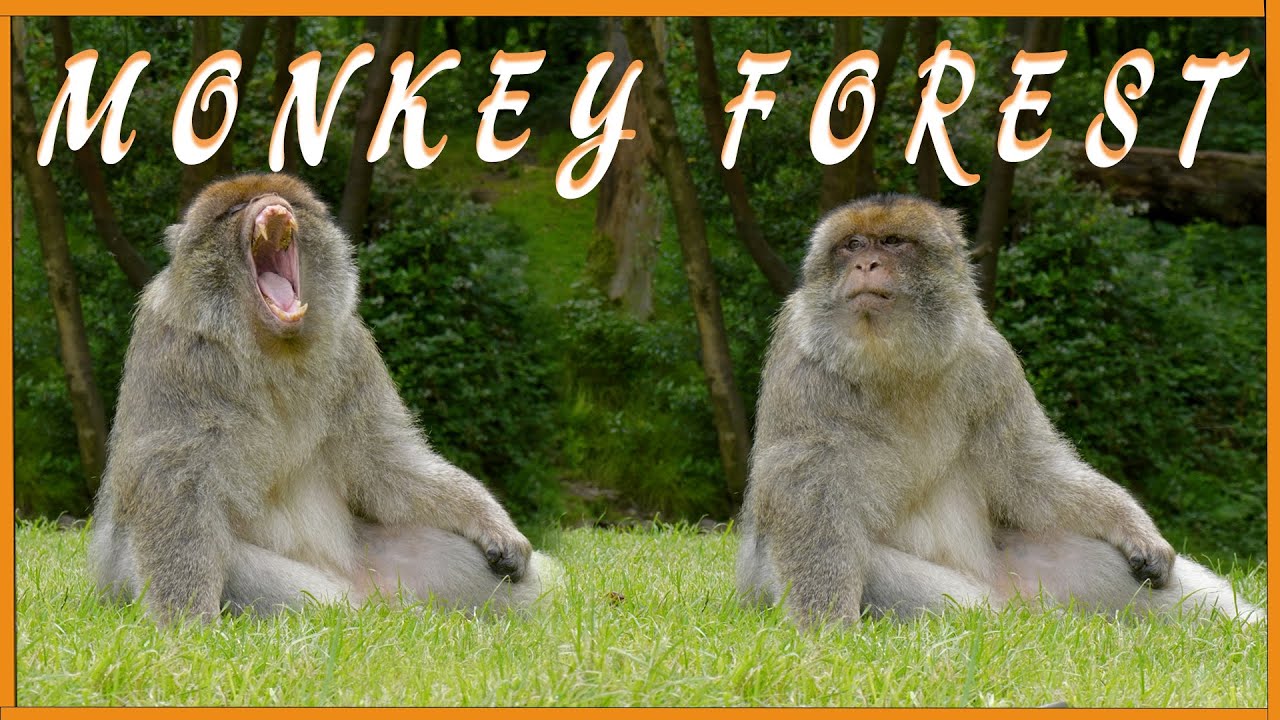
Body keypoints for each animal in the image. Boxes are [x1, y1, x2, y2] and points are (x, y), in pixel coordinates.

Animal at [89, 173, 559, 623]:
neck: (274, 351)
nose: (271, 204)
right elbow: (175, 487)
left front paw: (491, 523)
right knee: (288, 592)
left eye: (288, 199)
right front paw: (187, 625)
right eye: (237, 208)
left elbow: (386, 463)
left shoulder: (351, 350)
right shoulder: (174, 353)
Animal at [735, 194, 1263, 625]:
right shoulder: (803, 364)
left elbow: (1027, 469)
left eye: (893, 242)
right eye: (852, 244)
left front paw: (1132, 526)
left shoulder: (989, 360)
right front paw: (825, 628)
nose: (866, 264)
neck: (892, 361)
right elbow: (809, 489)